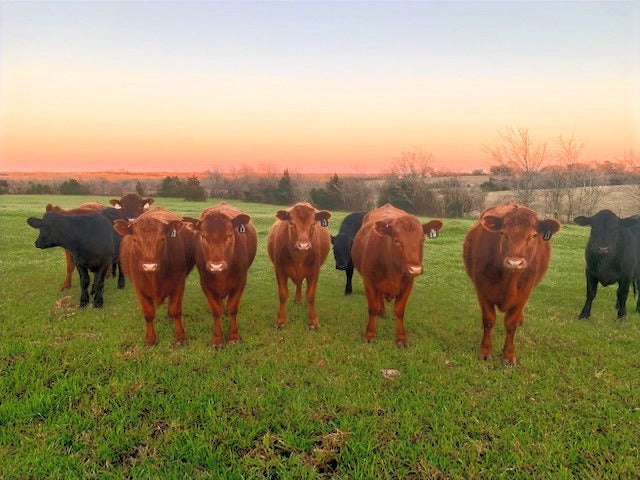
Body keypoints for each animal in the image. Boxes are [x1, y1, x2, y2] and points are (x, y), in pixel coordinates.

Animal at [113, 207, 195, 346]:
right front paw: (151, 339)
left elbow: (176, 310)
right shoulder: (139, 288)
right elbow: (148, 313)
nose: (149, 266)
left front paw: (180, 337)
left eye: (162, 239)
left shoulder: (179, 283)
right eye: (135, 240)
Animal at [183, 203, 257, 348]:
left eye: (229, 235)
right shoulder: (205, 284)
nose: (216, 266)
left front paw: (234, 337)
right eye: (203, 236)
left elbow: (233, 308)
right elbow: (216, 310)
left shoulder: (240, 282)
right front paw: (217, 340)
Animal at [351, 203, 442, 346]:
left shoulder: (409, 283)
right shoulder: (368, 280)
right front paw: (370, 335)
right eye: (396, 240)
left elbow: (400, 311)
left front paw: (401, 338)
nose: (415, 269)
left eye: (422, 240)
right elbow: (372, 308)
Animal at [463, 202, 561, 364]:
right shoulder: (482, 290)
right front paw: (485, 351)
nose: (514, 262)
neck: (509, 281)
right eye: (503, 233)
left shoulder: (524, 294)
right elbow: (488, 320)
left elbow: (511, 324)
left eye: (533, 235)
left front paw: (508, 355)